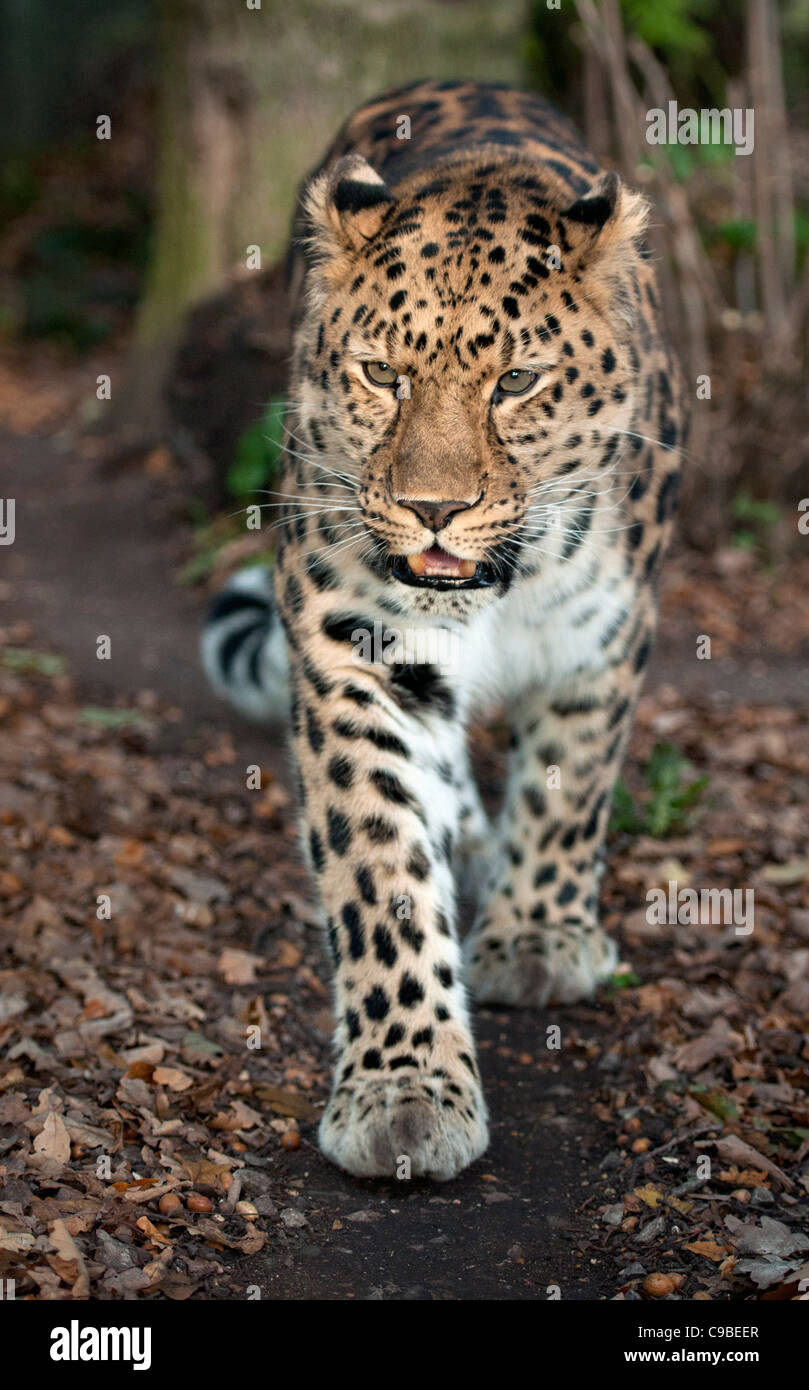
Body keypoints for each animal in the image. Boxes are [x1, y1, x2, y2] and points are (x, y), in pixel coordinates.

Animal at [202, 79, 685, 1181]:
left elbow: (568, 788)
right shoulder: (352, 648)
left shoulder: (604, 639)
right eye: (381, 373)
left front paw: (538, 939)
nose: (431, 509)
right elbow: (378, 866)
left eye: (516, 382)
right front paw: (404, 1091)